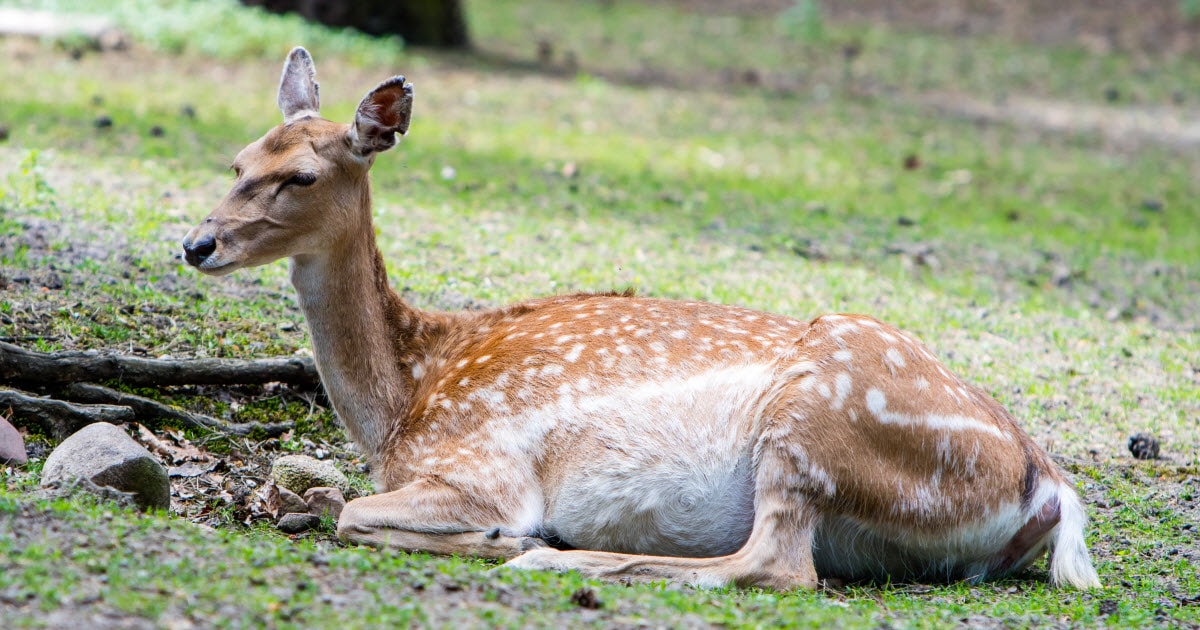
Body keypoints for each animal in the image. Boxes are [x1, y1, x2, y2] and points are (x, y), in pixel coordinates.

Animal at [181, 47, 1100, 591]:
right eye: (238, 160)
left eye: (300, 176)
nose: (197, 243)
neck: (403, 405)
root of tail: (1047, 483)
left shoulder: (483, 467)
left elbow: (351, 514)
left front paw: (498, 539)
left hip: (814, 422)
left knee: (777, 566)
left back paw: (553, 554)